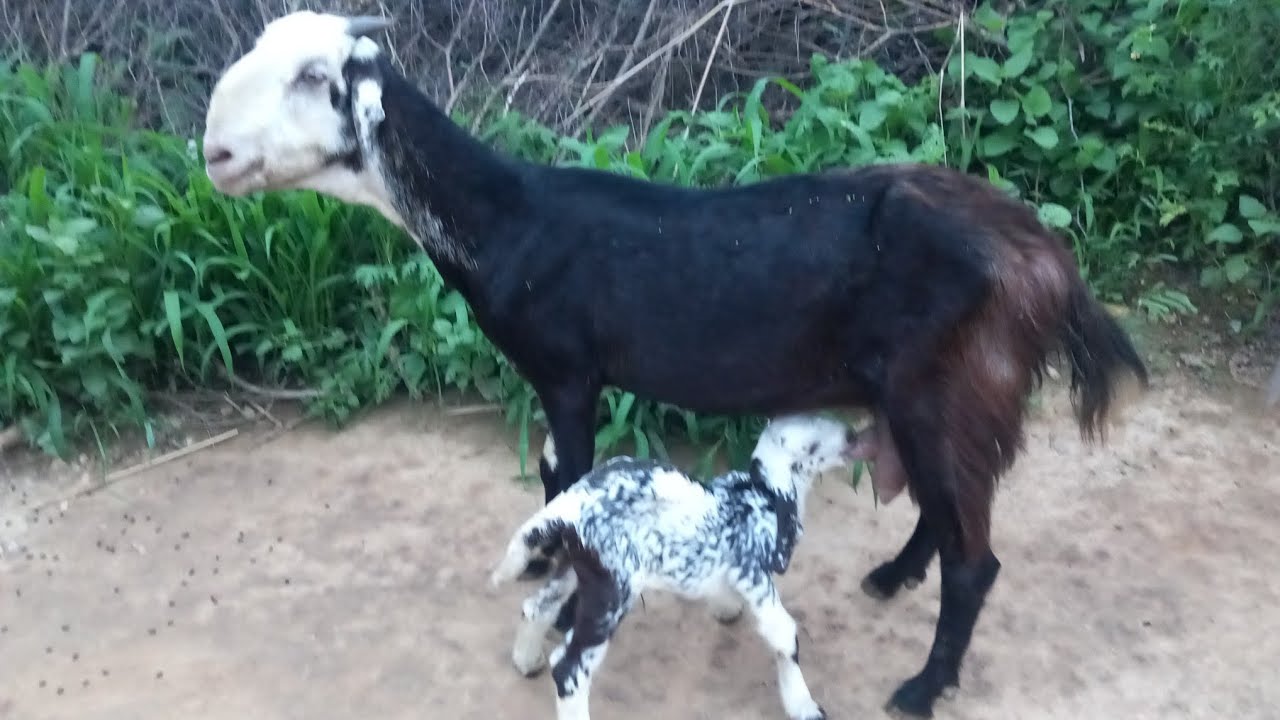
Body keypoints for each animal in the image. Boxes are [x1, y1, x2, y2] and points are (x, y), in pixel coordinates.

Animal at [489, 413, 861, 720]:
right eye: (813, 445)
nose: (853, 435)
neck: (766, 494)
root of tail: (566, 509)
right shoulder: (753, 572)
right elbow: (783, 634)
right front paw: (804, 706)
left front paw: (725, 606)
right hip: (613, 590)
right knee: (569, 669)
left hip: (578, 568)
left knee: (537, 607)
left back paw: (526, 660)